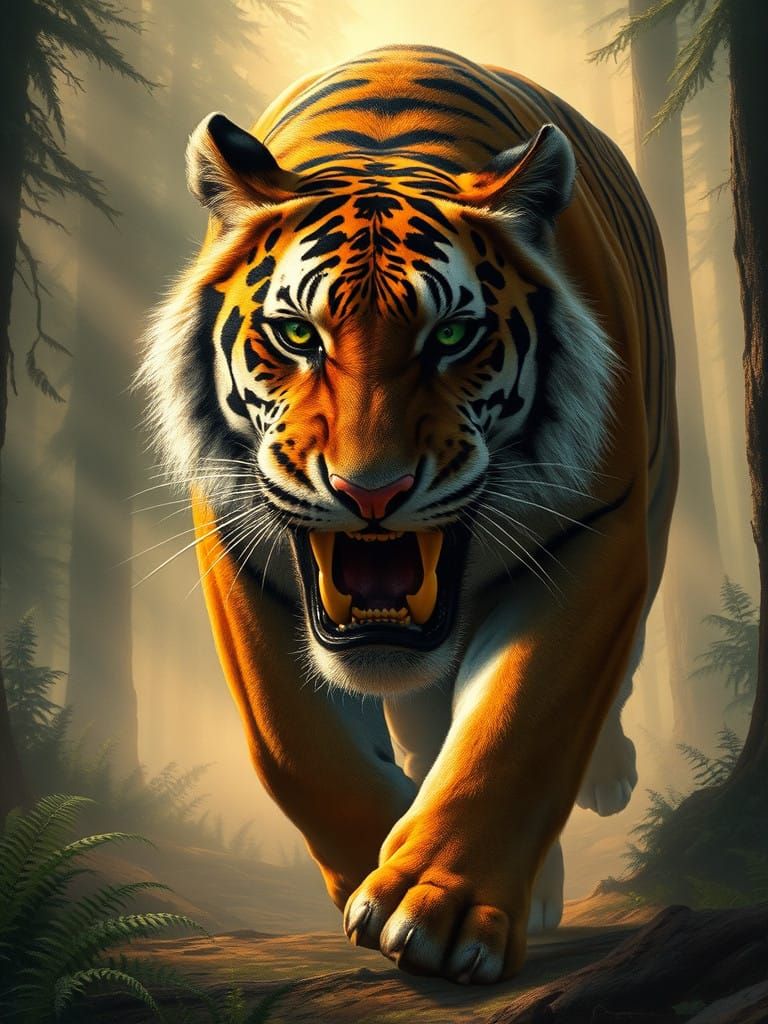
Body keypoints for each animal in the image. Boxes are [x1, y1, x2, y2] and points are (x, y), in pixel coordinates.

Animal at [139, 44, 677, 983]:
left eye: (452, 338)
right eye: (298, 336)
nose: (371, 492)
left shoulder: (593, 535)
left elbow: (516, 729)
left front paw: (438, 907)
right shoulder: (239, 553)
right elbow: (299, 750)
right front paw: (378, 866)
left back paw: (603, 779)